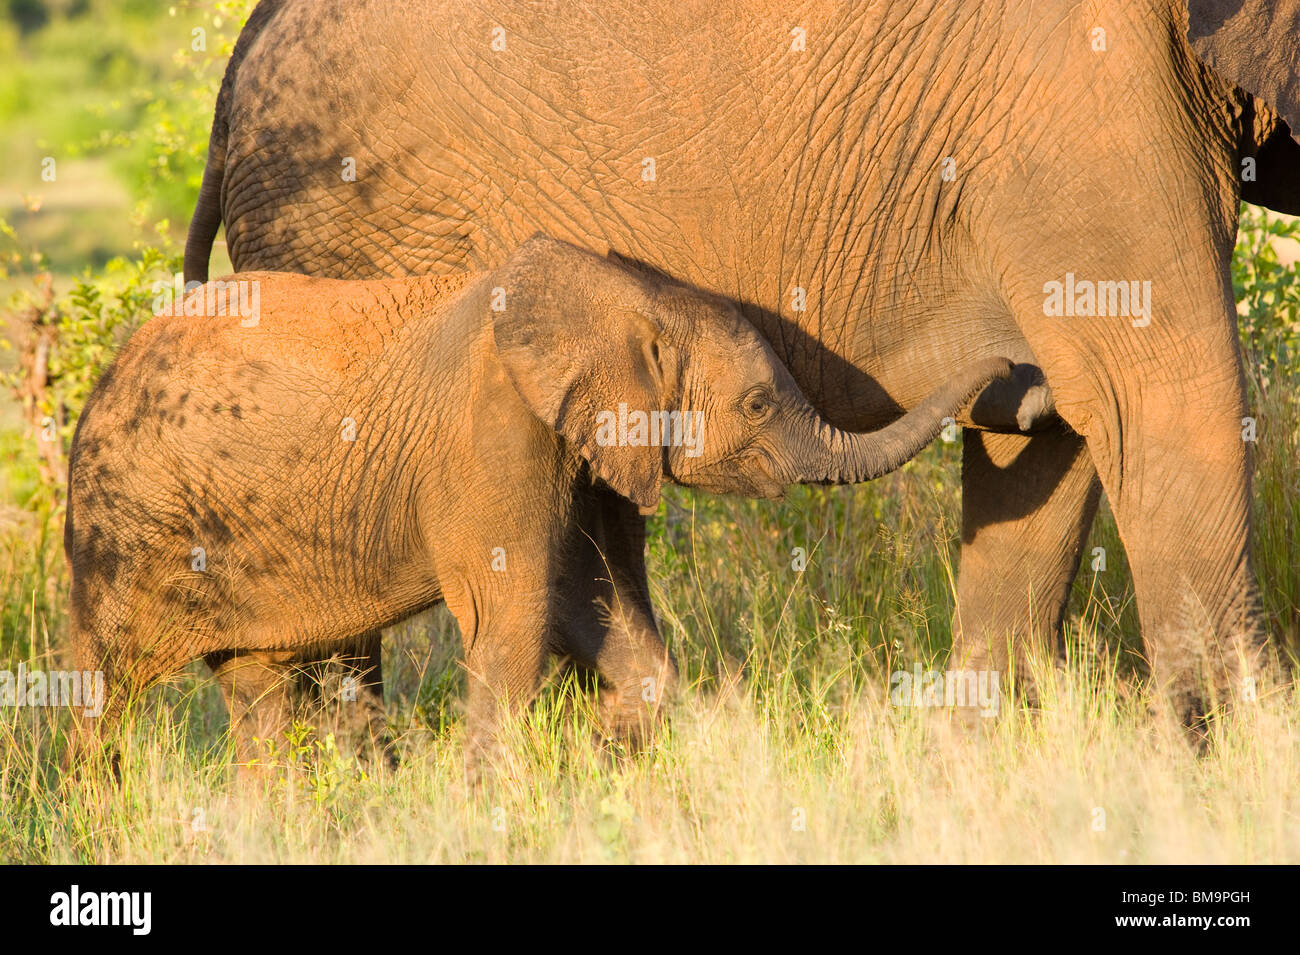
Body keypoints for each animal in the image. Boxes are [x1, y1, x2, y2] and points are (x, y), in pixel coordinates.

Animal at [64, 234, 1012, 774]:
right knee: (99, 693)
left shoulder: (578, 443)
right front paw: (493, 806)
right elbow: (514, 613)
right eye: (756, 404)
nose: (1011, 370)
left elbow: (588, 600)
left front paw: (609, 756)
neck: (626, 298)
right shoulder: (498, 433)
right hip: (117, 524)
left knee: (256, 696)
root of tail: (105, 377)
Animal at [183, 0, 1300, 724]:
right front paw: (1232, 768)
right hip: (354, 226)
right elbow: (1163, 395)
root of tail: (231, 74)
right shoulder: (1087, 85)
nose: (996, 363)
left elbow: (1060, 445)